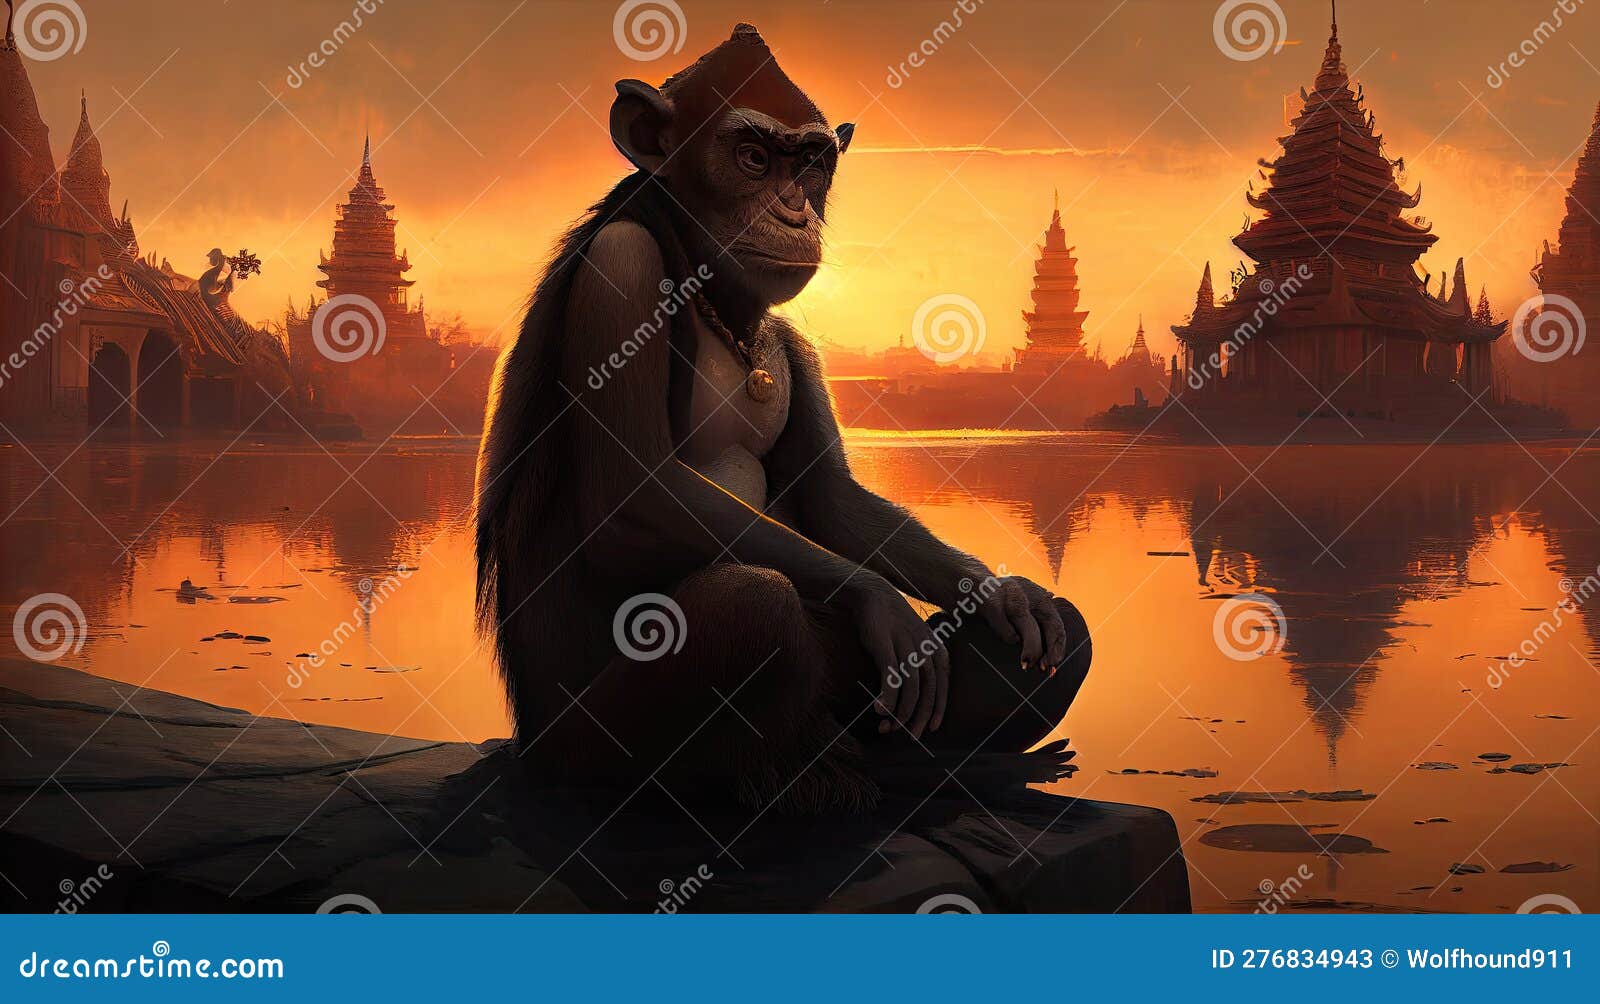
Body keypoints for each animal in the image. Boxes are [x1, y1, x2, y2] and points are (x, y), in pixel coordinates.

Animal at [476, 25, 1091, 814]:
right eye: (753, 159)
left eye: (813, 165)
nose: (795, 210)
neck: (719, 301)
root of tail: (526, 748)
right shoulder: (623, 269)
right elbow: (635, 499)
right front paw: (886, 606)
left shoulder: (795, 342)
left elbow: (832, 499)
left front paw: (997, 592)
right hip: (578, 754)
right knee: (755, 607)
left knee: (1062, 632)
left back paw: (933, 766)